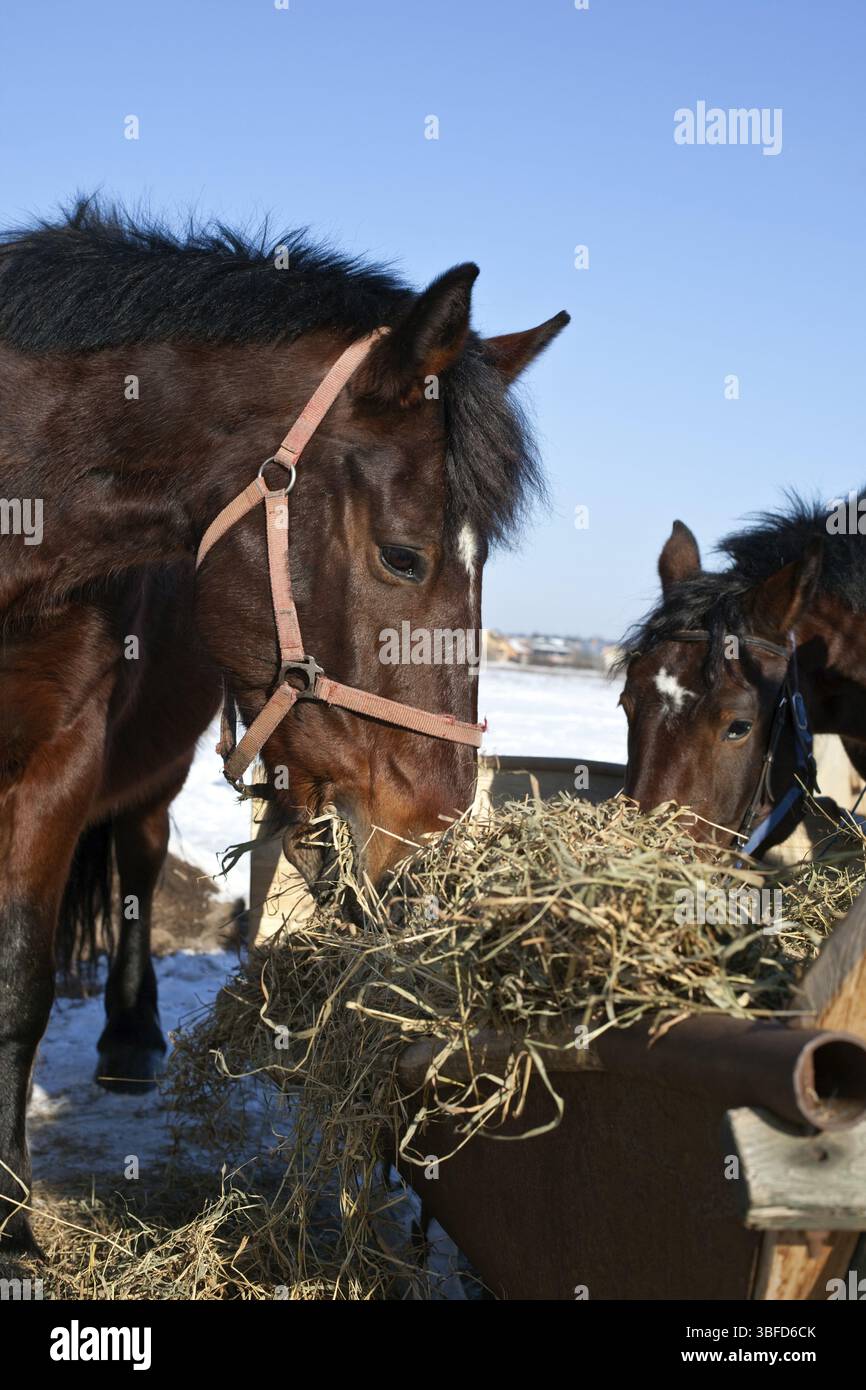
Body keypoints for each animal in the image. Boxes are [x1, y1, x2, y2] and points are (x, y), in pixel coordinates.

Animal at [0, 200, 569, 1254]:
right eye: (404, 555)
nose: (436, 830)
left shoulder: (61, 763)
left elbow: (18, 987)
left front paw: (12, 1222)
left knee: (138, 857)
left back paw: (132, 1039)